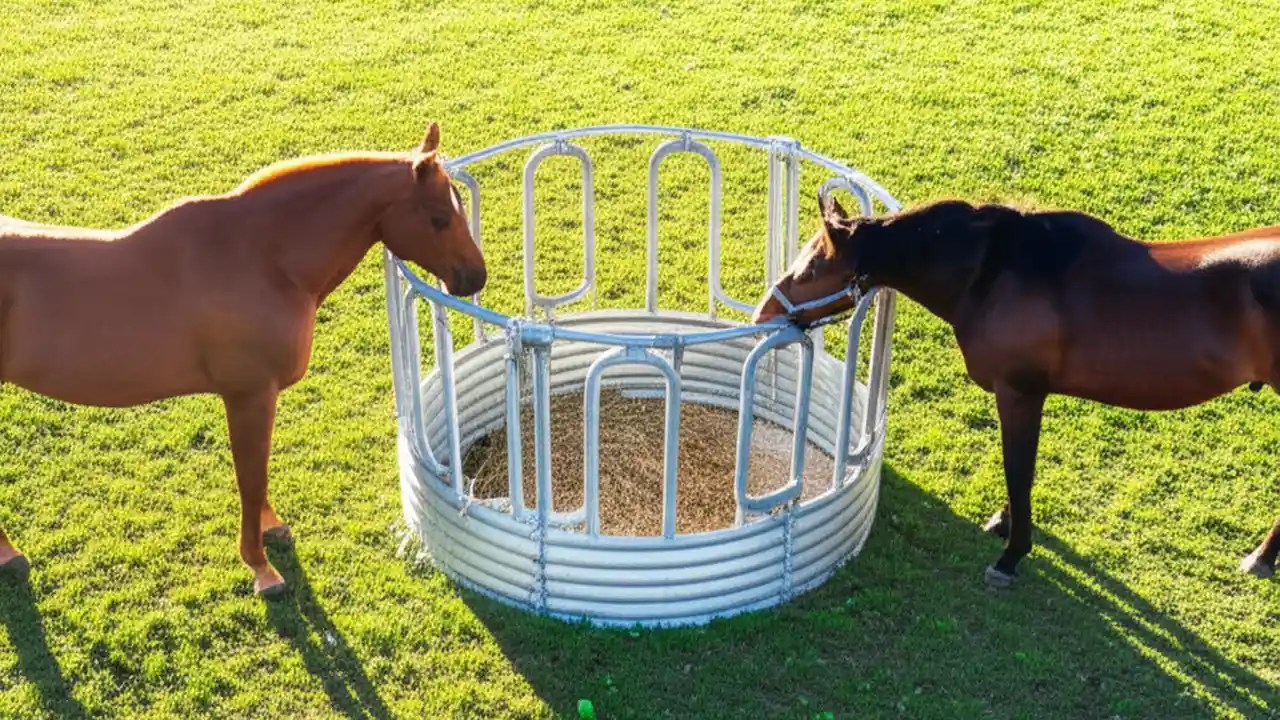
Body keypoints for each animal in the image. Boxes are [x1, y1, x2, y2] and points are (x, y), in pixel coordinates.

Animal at [0, 121, 484, 597]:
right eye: (439, 219)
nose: (475, 277)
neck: (263, 258)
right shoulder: (248, 395)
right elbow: (250, 478)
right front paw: (260, 567)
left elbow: (259, 474)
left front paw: (271, 529)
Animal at [753, 194, 1280, 588]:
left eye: (812, 268)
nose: (762, 314)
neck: (992, 272)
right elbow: (1021, 467)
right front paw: (1007, 525)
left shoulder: (1019, 393)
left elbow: (1018, 469)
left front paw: (1011, 555)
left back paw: (1261, 557)